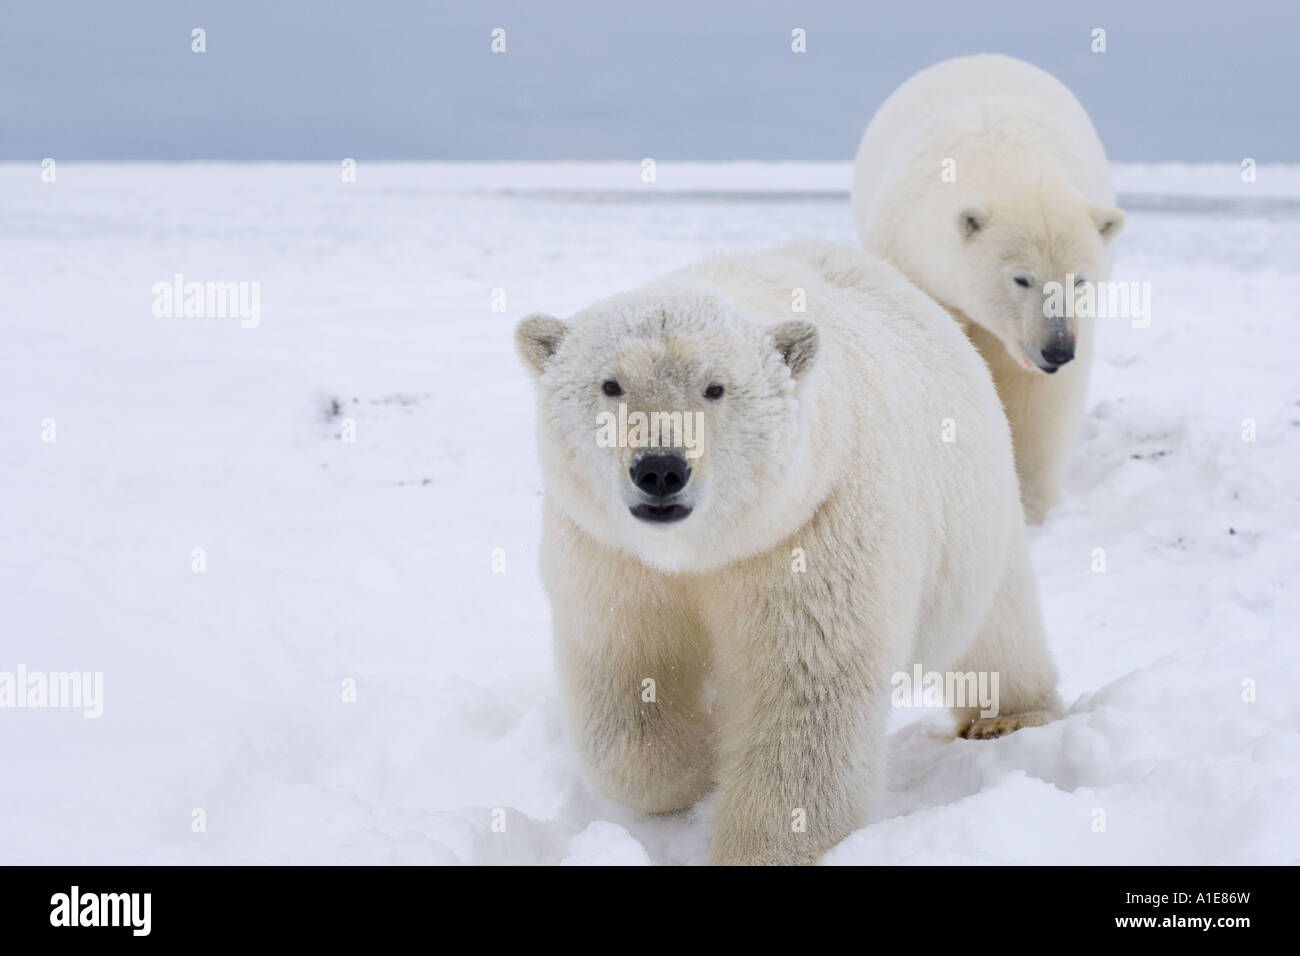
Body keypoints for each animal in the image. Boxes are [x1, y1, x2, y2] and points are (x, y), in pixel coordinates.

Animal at [515, 241, 1060, 865]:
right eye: (611, 385)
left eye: (715, 388)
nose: (660, 469)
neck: (703, 550)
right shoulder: (609, 554)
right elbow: (627, 683)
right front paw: (696, 763)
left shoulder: (809, 531)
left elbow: (805, 701)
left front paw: (761, 844)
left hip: (974, 517)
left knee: (998, 628)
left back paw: (1008, 718)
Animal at [851, 54, 1125, 523]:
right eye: (1021, 278)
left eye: (1079, 279)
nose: (1056, 349)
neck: (1002, 154)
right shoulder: (909, 254)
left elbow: (1041, 399)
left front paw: (1031, 506)